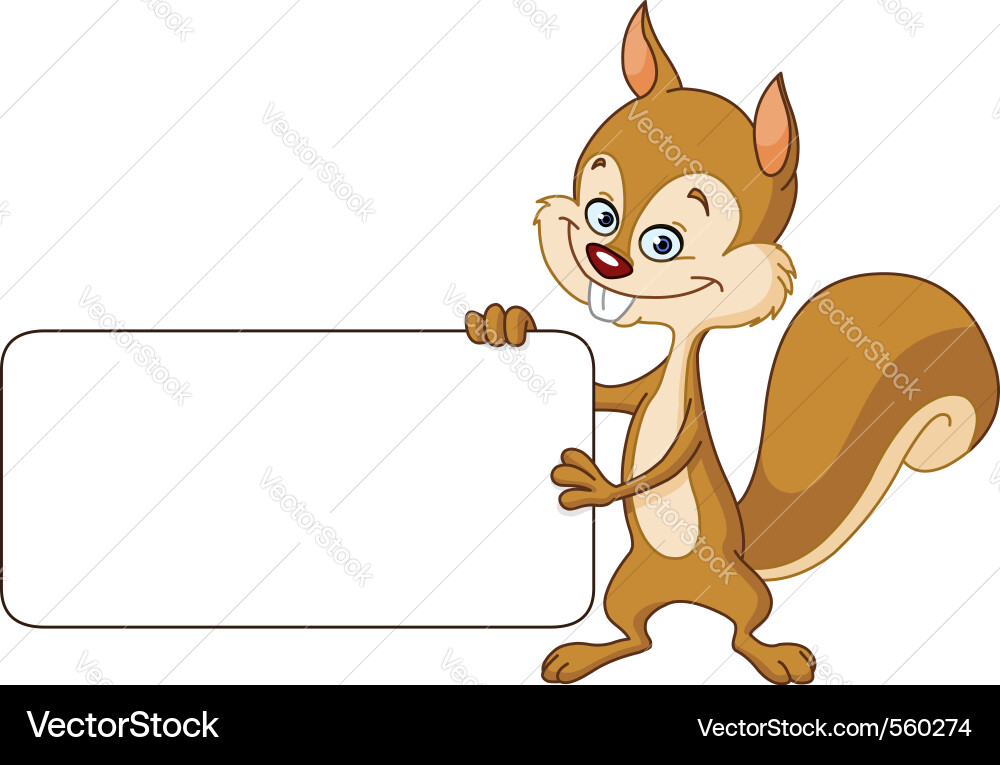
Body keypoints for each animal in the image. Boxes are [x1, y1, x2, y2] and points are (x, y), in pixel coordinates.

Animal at [463, 3, 999, 685]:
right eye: (602, 211)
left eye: (663, 242)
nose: (605, 261)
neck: (674, 363)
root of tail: (707, 581)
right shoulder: (642, 389)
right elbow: (606, 394)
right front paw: (505, 323)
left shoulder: (689, 421)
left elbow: (663, 464)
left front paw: (597, 486)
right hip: (626, 584)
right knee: (637, 638)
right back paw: (585, 653)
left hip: (739, 589)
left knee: (741, 630)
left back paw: (775, 657)